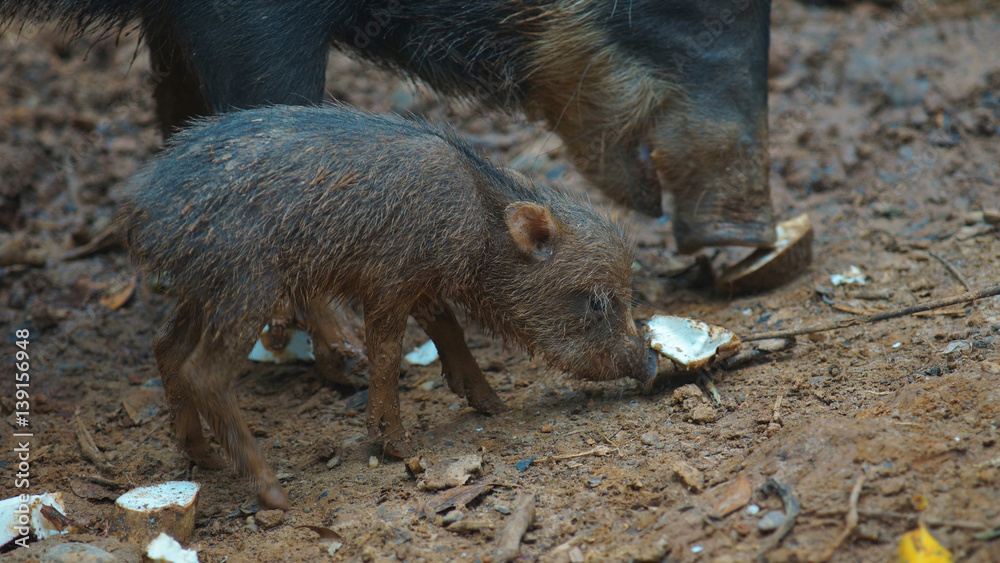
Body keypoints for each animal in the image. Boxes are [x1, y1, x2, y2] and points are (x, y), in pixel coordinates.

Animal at [117, 104, 658, 509]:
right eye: (597, 302)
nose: (651, 363)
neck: (478, 225)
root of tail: (142, 213)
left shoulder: (420, 283)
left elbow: (446, 327)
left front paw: (492, 404)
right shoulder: (389, 280)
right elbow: (387, 356)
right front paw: (398, 447)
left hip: (202, 290)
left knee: (165, 347)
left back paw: (204, 458)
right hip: (246, 287)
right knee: (204, 372)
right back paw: (274, 493)